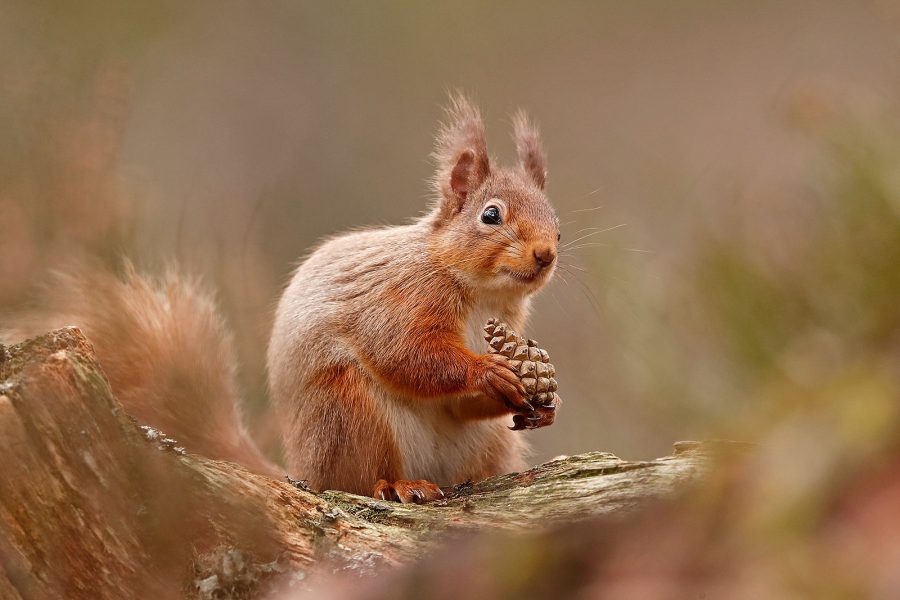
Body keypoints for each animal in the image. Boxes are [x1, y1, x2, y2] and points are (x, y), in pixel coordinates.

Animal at [7, 94, 561, 503]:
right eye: (491, 215)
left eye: (555, 218)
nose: (546, 253)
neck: (481, 292)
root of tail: (300, 470)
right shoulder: (402, 298)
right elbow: (406, 354)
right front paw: (486, 371)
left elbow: (459, 401)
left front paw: (542, 402)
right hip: (349, 412)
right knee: (359, 477)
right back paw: (399, 485)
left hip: (488, 445)